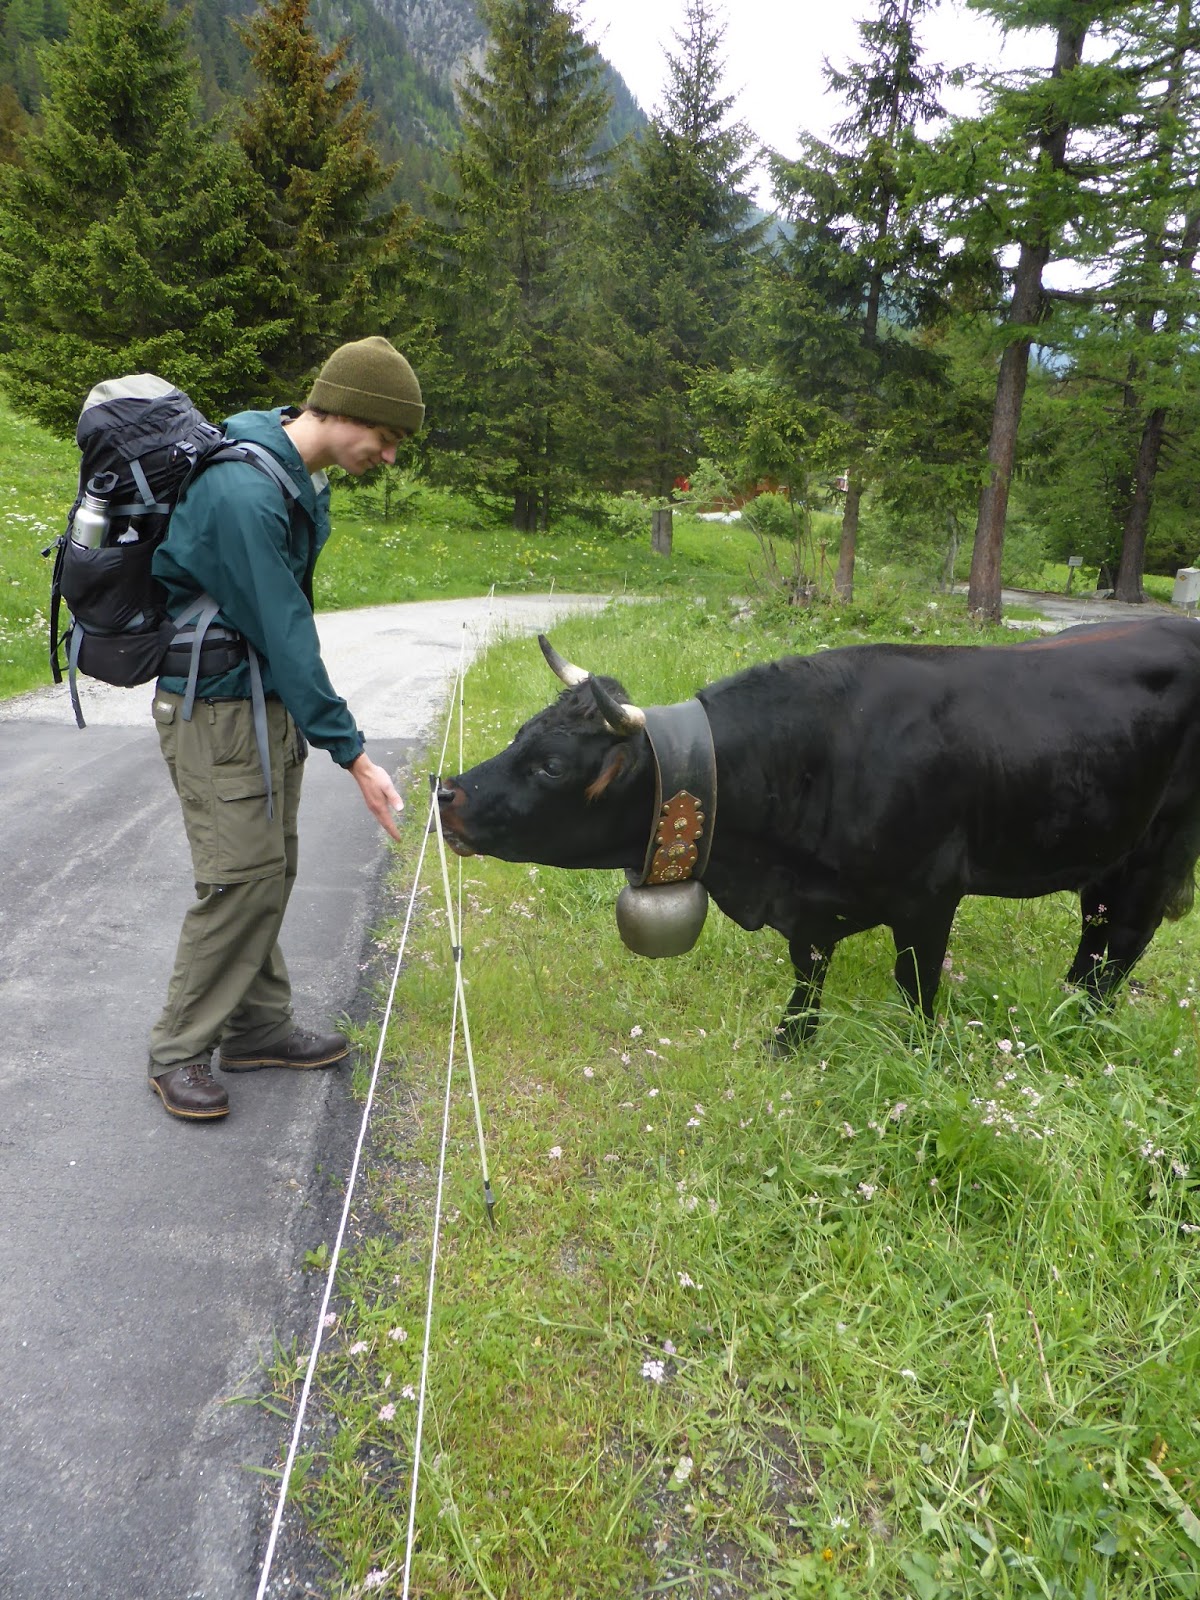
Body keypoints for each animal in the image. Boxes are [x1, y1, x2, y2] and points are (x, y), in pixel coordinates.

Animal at [436, 618, 1200, 1047]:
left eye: (552, 765)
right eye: (521, 732)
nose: (446, 795)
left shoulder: (930, 896)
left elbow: (916, 986)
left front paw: (922, 1056)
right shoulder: (807, 906)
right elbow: (809, 972)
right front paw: (792, 1041)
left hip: (1160, 848)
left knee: (1121, 943)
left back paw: (1078, 1027)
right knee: (1098, 940)